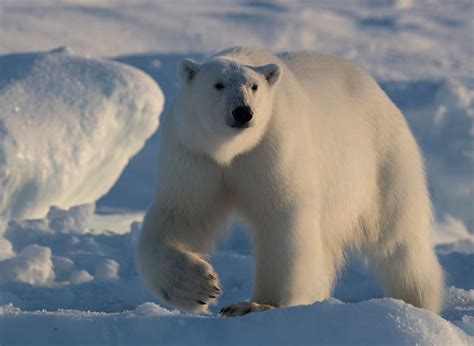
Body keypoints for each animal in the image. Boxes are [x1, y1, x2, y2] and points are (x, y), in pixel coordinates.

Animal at [137, 46, 444, 316]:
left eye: (254, 86)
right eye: (218, 84)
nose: (242, 112)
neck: (233, 150)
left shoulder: (274, 146)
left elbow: (282, 218)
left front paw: (254, 304)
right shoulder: (196, 155)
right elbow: (182, 214)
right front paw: (198, 286)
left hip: (381, 161)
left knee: (398, 241)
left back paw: (416, 302)